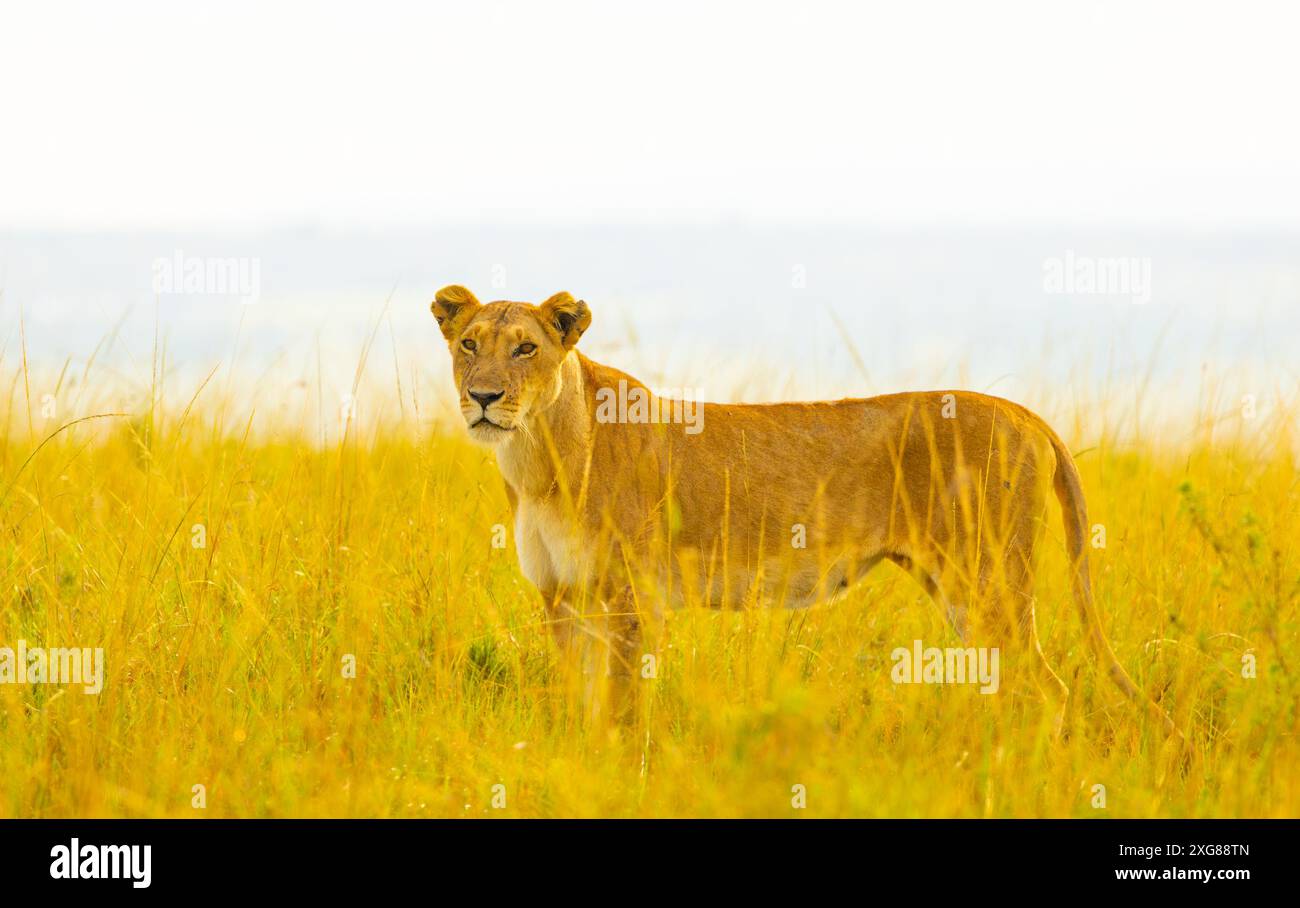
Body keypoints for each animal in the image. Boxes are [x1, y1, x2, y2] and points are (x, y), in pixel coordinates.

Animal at [430, 284, 1180, 739]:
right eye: (469, 343)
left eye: (526, 347)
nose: (485, 397)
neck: (539, 462)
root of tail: (1027, 414)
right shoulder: (561, 597)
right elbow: (576, 700)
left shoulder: (632, 597)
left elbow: (619, 706)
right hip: (964, 587)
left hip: (989, 578)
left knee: (1045, 689)